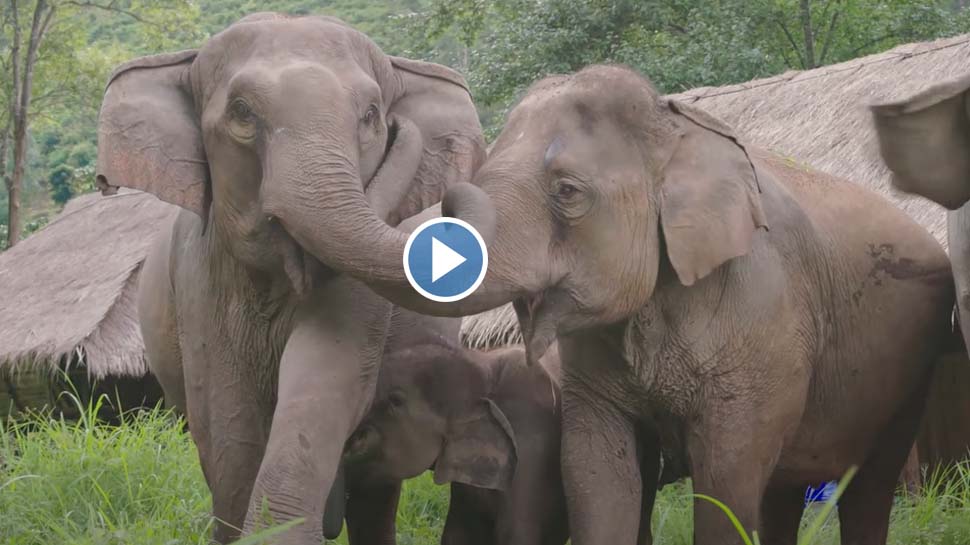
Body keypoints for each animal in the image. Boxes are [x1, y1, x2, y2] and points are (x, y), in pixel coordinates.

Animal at [96, 13, 485, 543]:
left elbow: (328, 375)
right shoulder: (199, 273)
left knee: (376, 494)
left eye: (371, 115)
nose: (399, 126)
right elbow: (228, 419)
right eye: (241, 112)